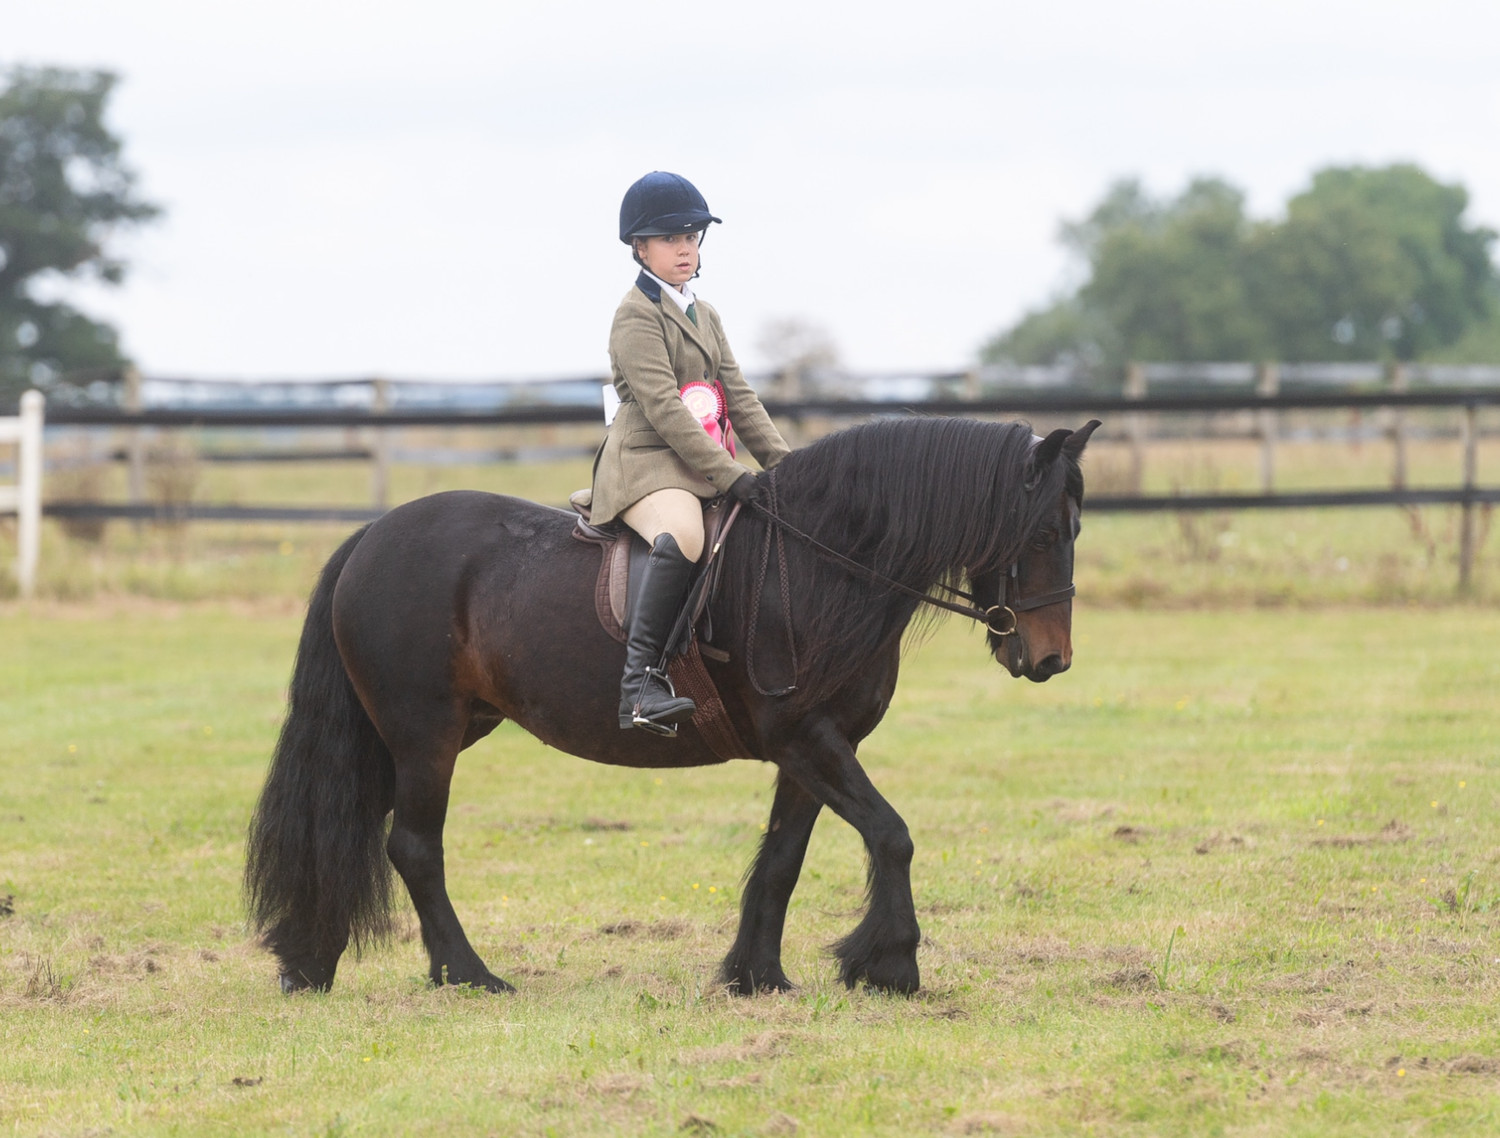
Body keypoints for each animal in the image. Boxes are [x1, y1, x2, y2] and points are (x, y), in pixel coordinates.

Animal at [245, 416, 1099, 996]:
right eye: (1042, 532)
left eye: (1076, 529)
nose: (1051, 659)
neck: (821, 565)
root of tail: (371, 536)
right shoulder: (808, 737)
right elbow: (893, 835)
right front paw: (888, 965)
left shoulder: (813, 749)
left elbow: (784, 859)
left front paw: (757, 975)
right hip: (425, 732)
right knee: (414, 847)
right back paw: (469, 974)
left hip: (430, 730)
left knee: (348, 825)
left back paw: (310, 960)